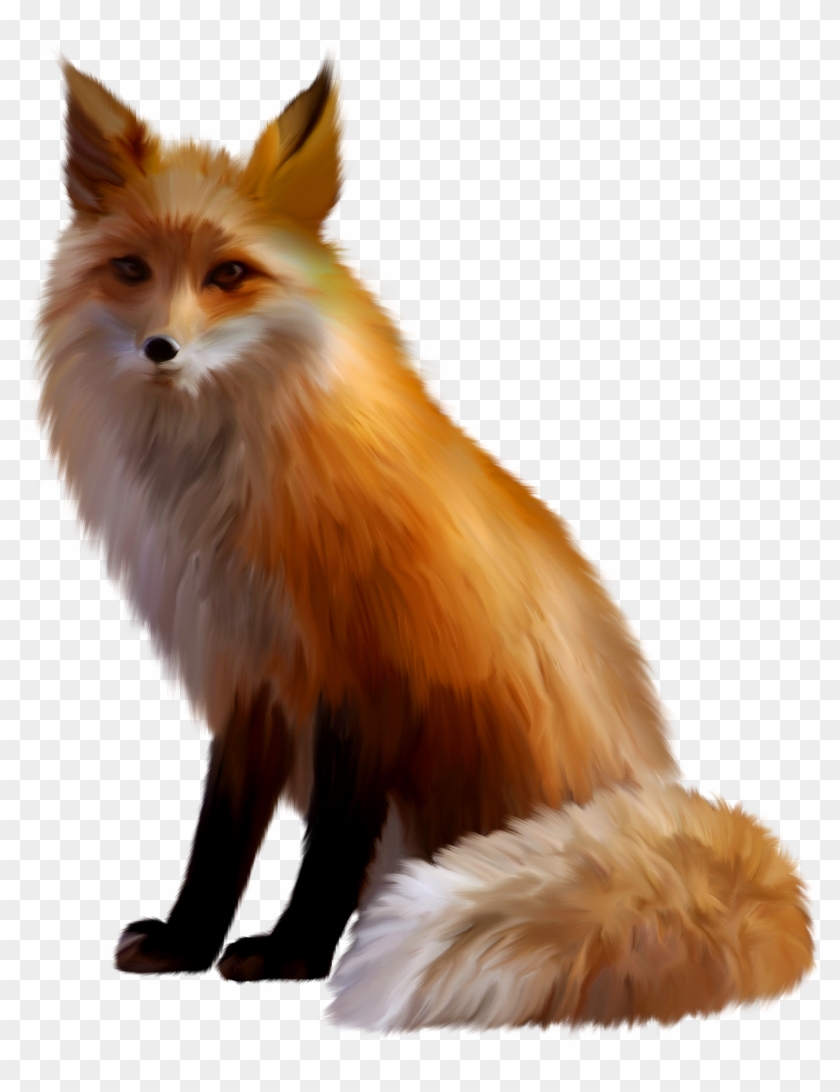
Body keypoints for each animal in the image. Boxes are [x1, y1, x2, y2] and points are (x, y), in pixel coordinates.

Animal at [36, 59, 813, 1031]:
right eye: (131, 270)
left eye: (229, 274)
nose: (160, 348)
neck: (231, 501)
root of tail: (652, 791)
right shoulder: (249, 678)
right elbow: (220, 837)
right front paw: (187, 943)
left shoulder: (371, 681)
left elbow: (331, 847)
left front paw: (293, 955)